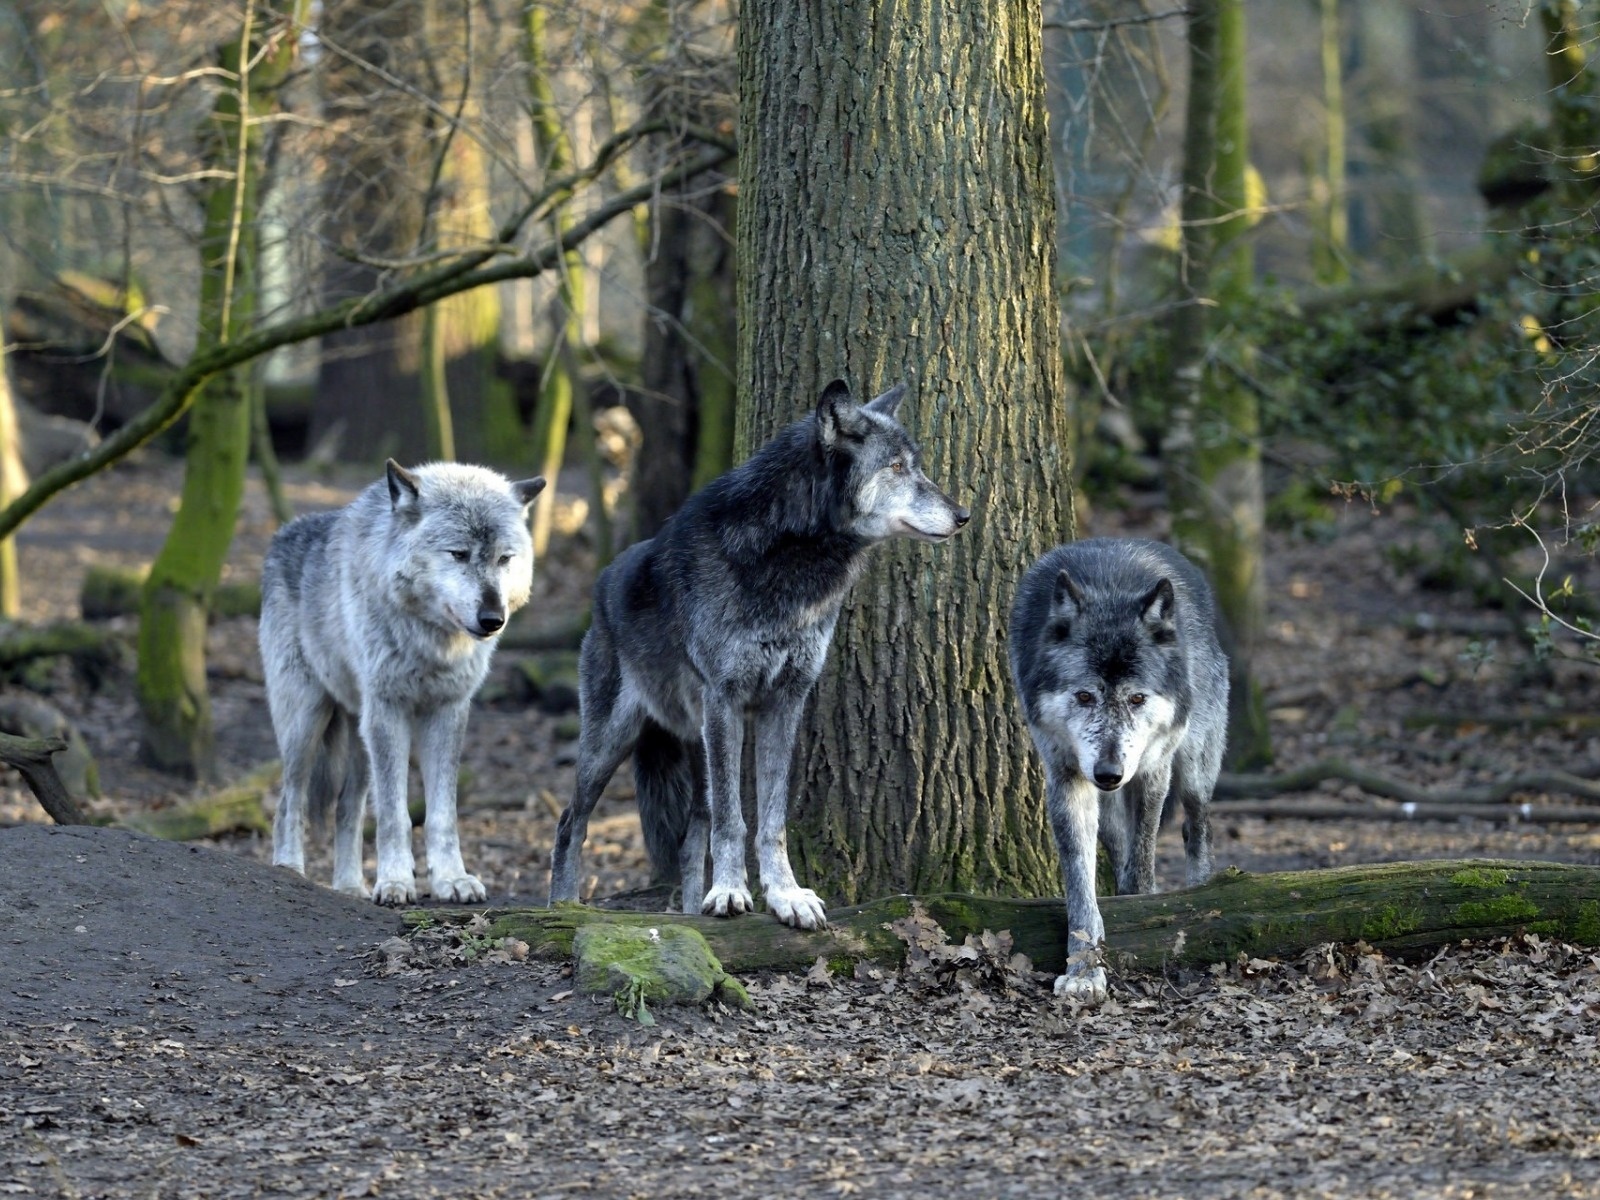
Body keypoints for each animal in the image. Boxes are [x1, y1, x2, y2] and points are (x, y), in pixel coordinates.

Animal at [260, 460, 545, 905]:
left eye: (504, 559)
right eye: (458, 554)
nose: (492, 619)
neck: (432, 643)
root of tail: (281, 533)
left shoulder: (447, 712)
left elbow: (442, 816)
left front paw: (452, 879)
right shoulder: (388, 712)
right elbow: (395, 814)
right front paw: (395, 881)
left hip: (359, 736)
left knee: (347, 809)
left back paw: (350, 887)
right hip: (308, 721)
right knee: (290, 799)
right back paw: (289, 868)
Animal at [548, 379, 970, 929]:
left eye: (915, 465)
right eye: (897, 467)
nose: (964, 515)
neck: (790, 559)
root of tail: (601, 582)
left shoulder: (785, 701)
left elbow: (770, 820)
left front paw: (785, 895)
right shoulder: (726, 699)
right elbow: (734, 820)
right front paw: (731, 892)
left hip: (695, 743)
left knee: (691, 837)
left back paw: (689, 911)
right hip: (612, 742)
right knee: (569, 822)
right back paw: (563, 906)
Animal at [1009, 538, 1228, 1002]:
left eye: (1137, 699)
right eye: (1085, 696)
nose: (1109, 773)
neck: (1109, 589)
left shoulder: (1151, 771)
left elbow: (1143, 859)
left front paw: (1143, 918)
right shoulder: (1068, 778)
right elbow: (1080, 882)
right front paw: (1084, 969)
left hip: (1194, 764)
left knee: (1196, 826)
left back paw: (1201, 888)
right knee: (1117, 841)